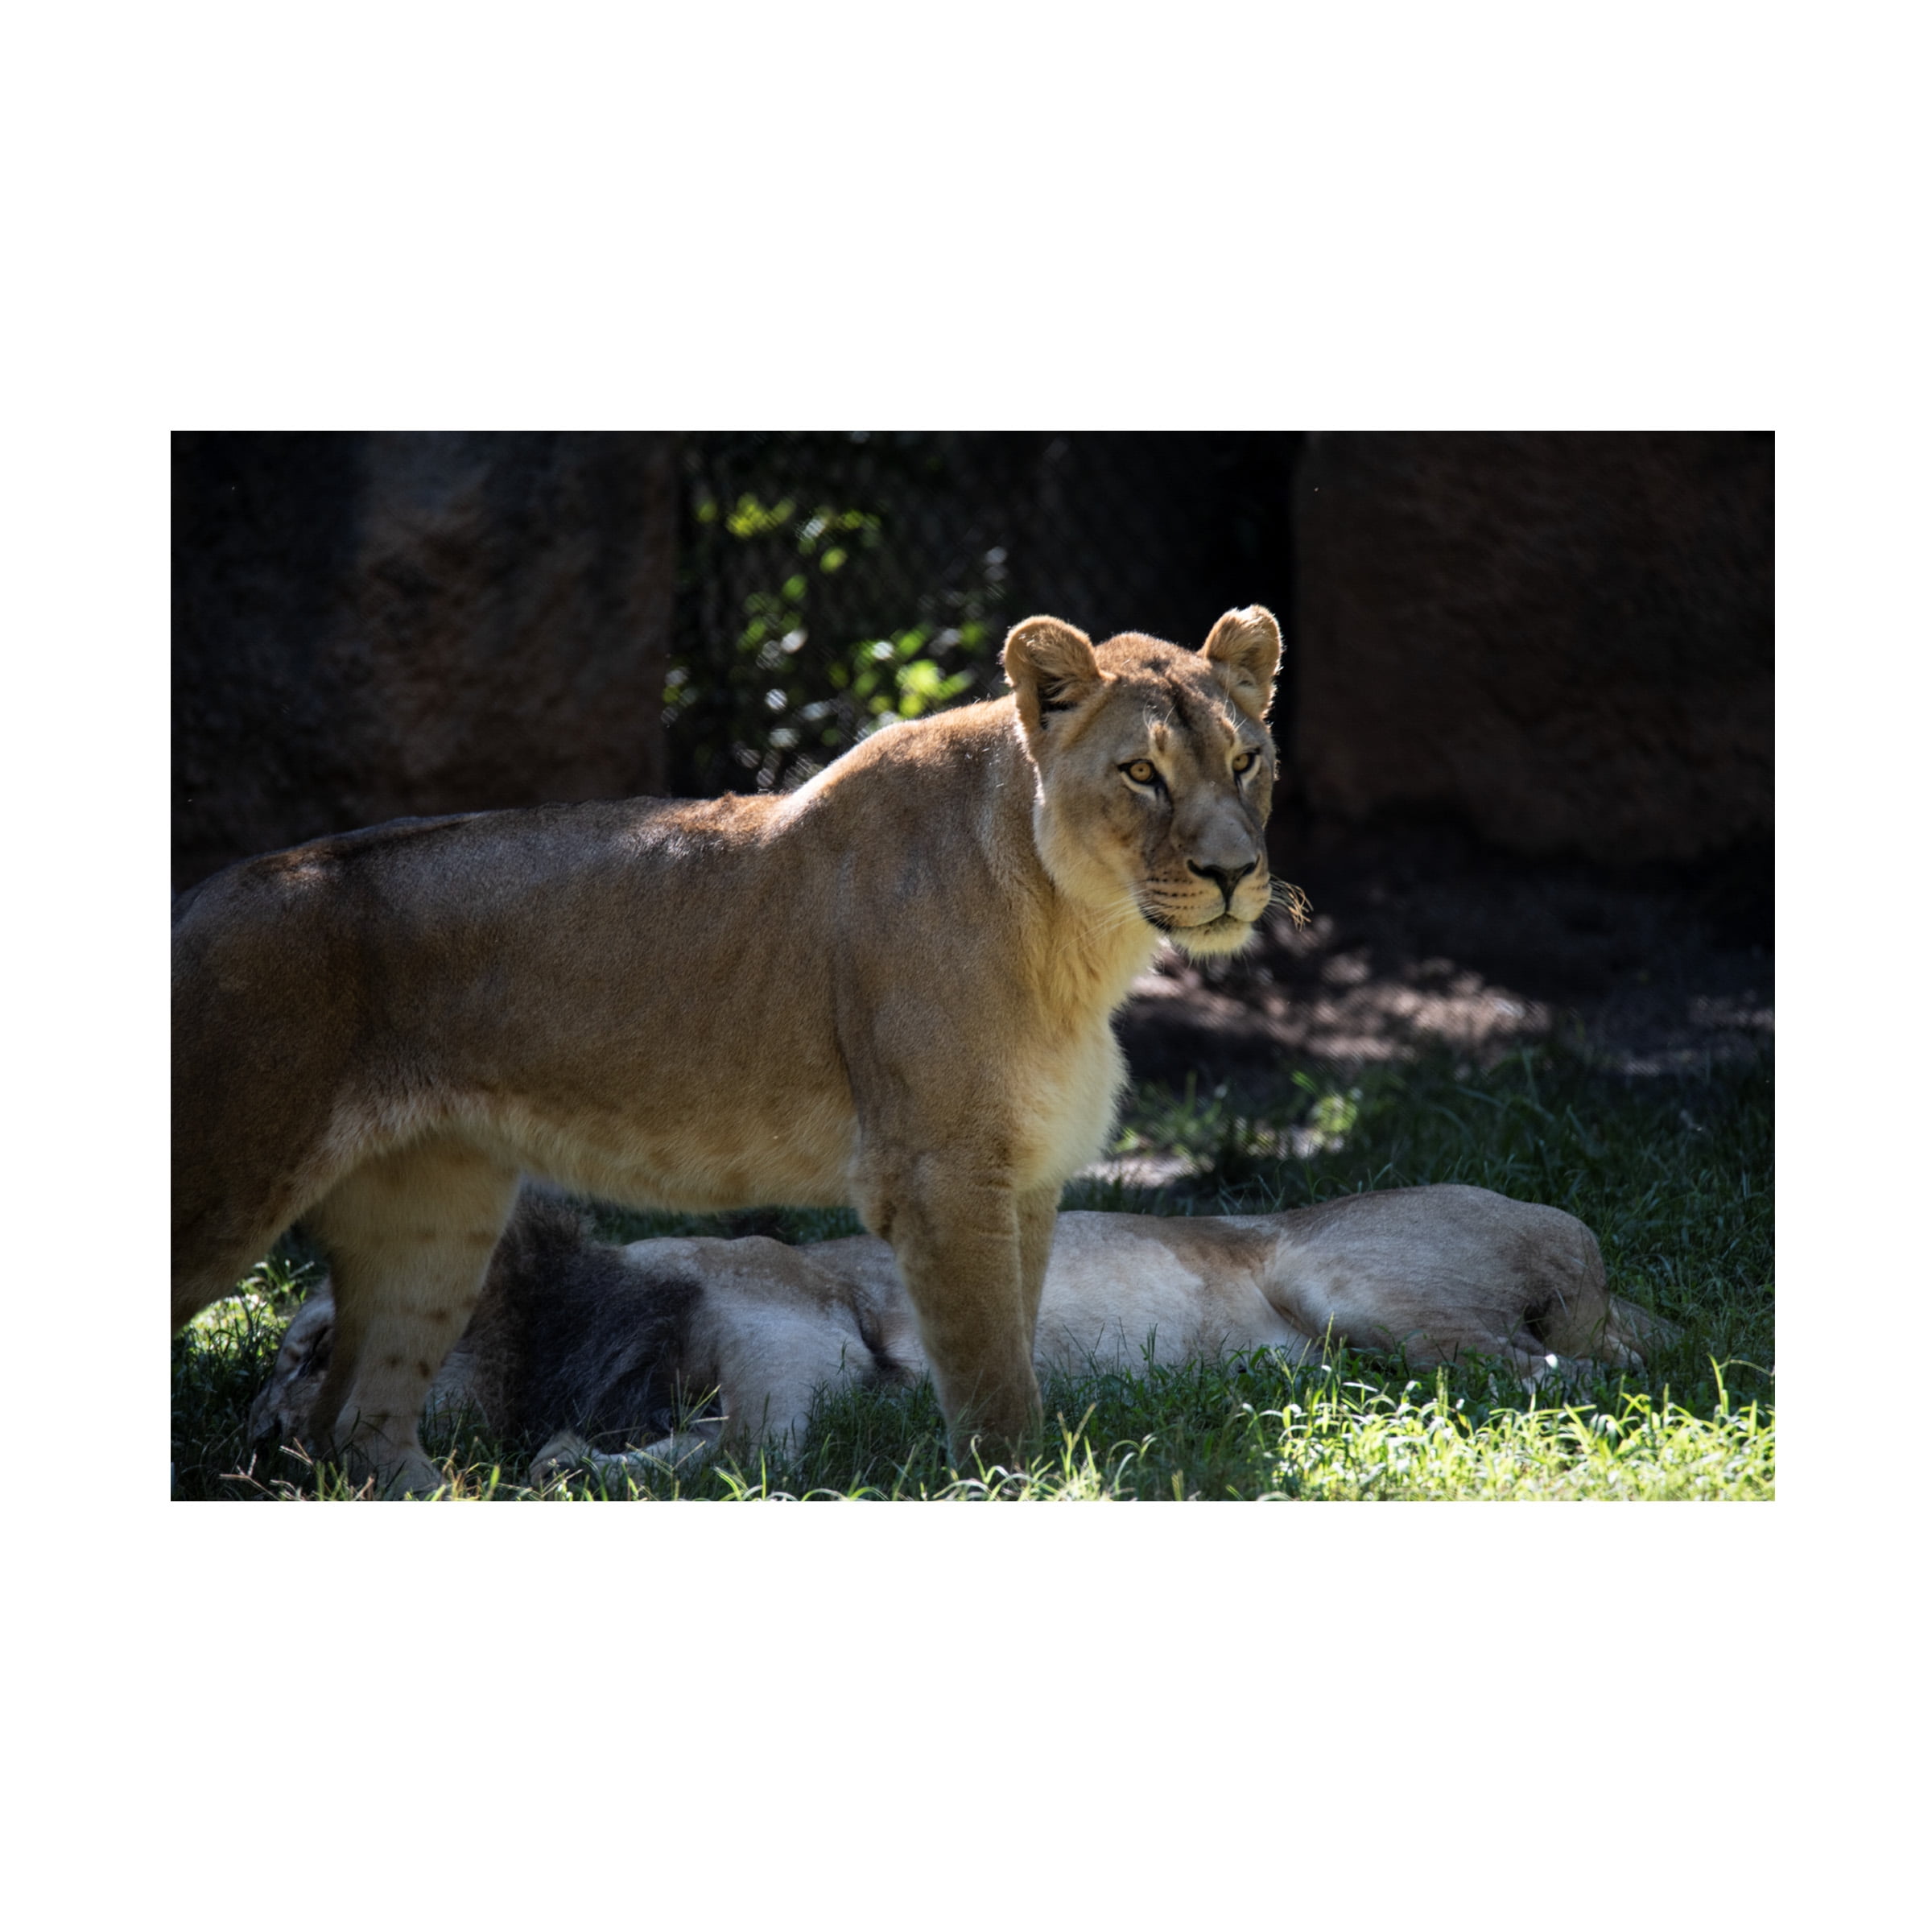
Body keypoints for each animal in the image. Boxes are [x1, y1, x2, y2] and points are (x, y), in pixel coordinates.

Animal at [175, 607, 1285, 1491]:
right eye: (1141, 773)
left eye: (1247, 762)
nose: (1236, 874)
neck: (1080, 937)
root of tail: (201, 897)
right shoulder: (940, 1174)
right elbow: (989, 1374)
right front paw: (1015, 1486)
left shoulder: (1024, 1178)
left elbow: (1014, 1339)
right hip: (226, 1186)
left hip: (436, 1223)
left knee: (355, 1433)